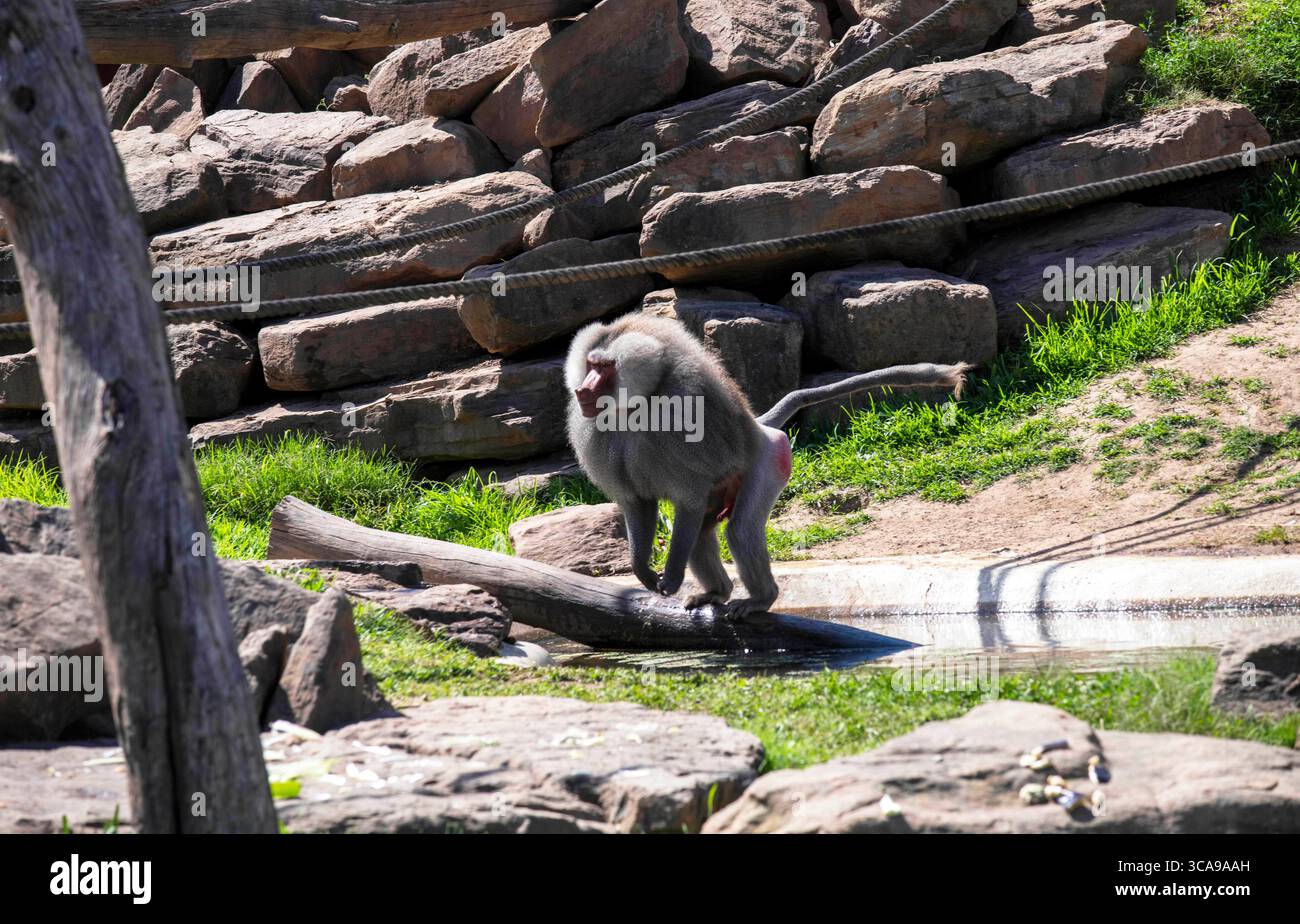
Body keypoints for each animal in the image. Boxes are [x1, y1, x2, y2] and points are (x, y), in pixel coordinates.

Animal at [566, 313, 970, 619]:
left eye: (604, 368)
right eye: (590, 365)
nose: (582, 391)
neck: (634, 408)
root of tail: (760, 427)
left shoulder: (682, 417)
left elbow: (689, 498)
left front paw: (672, 577)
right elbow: (636, 503)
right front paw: (643, 571)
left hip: (770, 460)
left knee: (739, 531)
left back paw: (760, 599)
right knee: (701, 535)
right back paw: (717, 592)